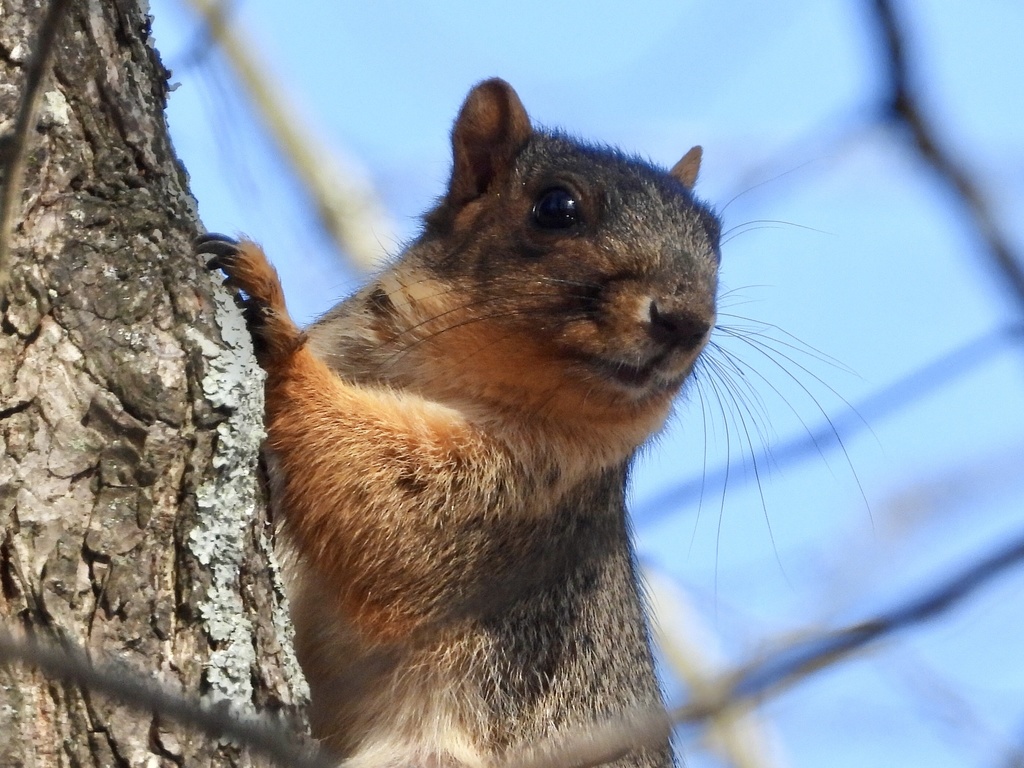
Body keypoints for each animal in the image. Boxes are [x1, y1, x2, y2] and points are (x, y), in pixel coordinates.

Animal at [198, 78, 720, 768]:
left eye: (715, 239)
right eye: (556, 207)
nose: (687, 319)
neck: (440, 372)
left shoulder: (519, 510)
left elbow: (396, 519)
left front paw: (277, 328)